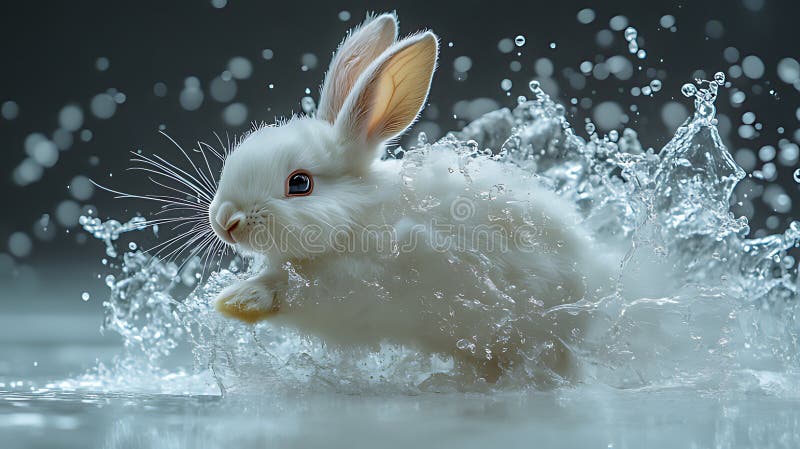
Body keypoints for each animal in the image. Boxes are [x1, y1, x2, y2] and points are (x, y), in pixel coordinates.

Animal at [208, 13, 628, 382]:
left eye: (299, 184)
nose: (227, 221)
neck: (357, 218)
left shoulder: (347, 288)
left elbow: (289, 291)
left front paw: (238, 300)